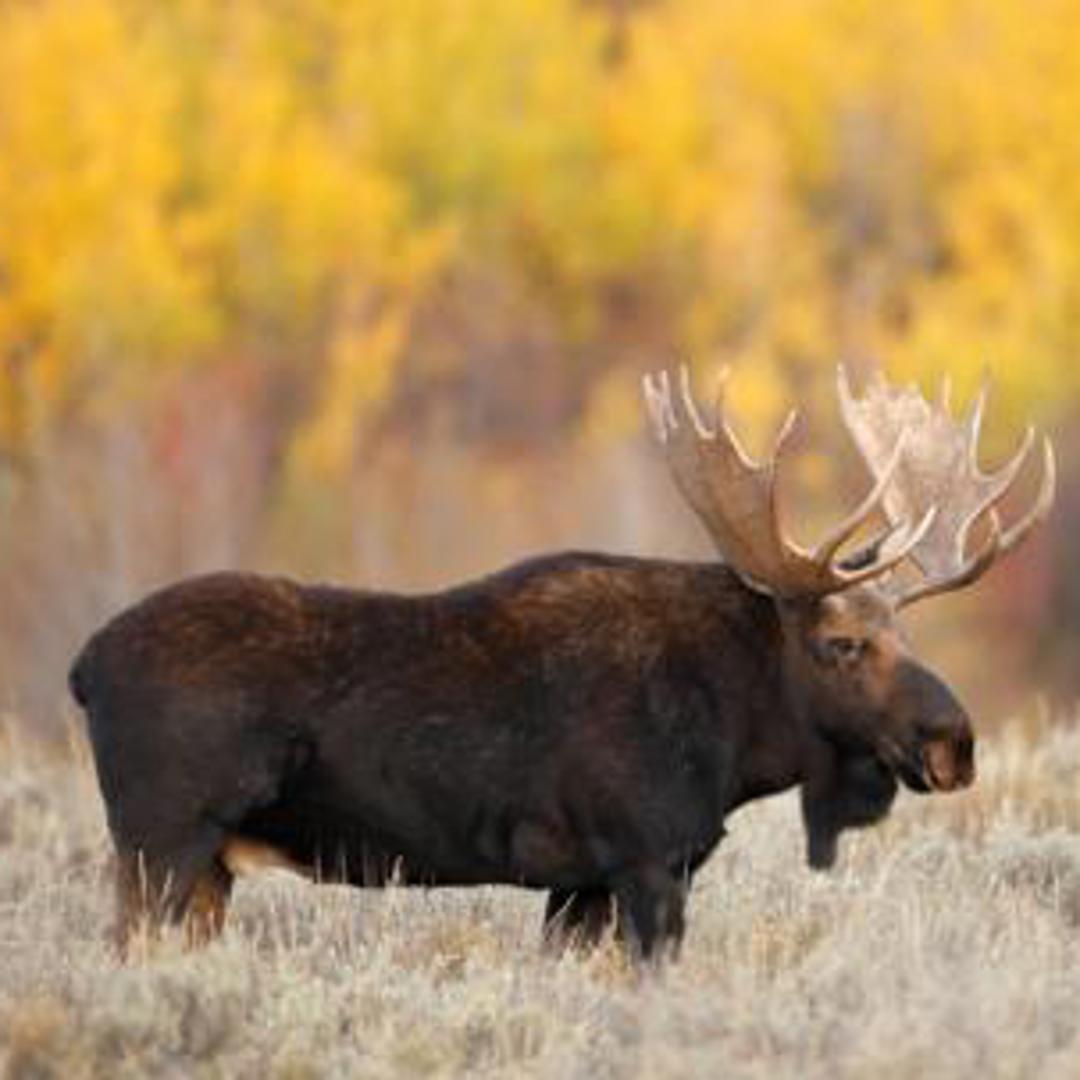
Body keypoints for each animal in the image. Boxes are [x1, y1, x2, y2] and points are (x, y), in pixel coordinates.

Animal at [68, 367, 1054, 963]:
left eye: (910, 636)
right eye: (842, 643)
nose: (955, 743)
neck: (732, 737)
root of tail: (82, 667)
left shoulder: (579, 883)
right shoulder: (644, 857)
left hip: (204, 866)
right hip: (162, 839)